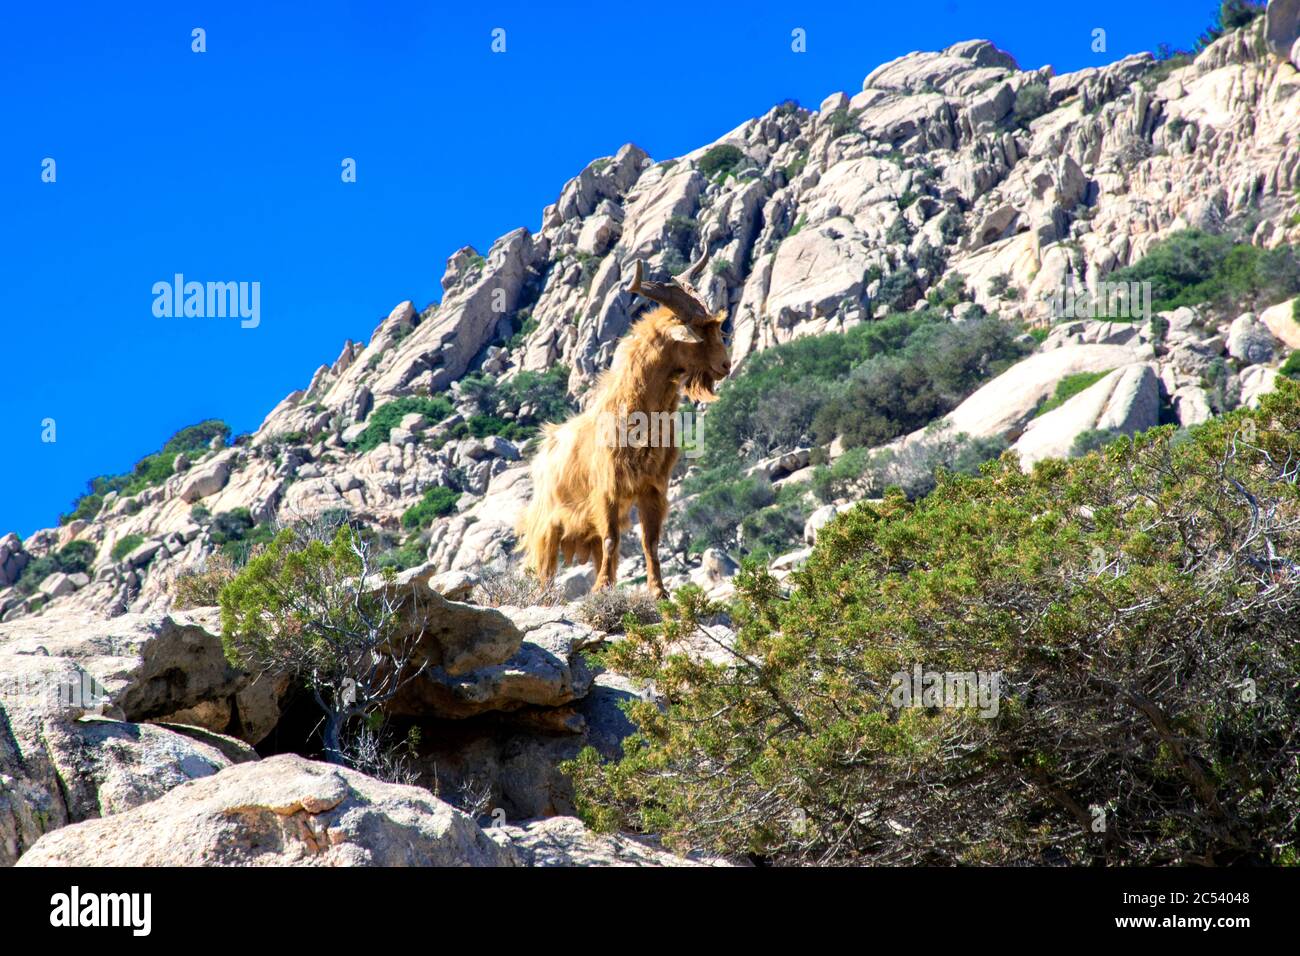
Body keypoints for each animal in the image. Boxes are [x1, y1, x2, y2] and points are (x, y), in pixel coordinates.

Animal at [517, 253, 731, 598]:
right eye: (698, 332)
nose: (725, 364)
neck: (637, 416)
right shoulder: (607, 490)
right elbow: (612, 538)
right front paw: (602, 589)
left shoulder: (652, 488)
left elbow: (649, 542)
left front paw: (658, 591)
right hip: (548, 521)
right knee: (546, 567)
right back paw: (545, 597)